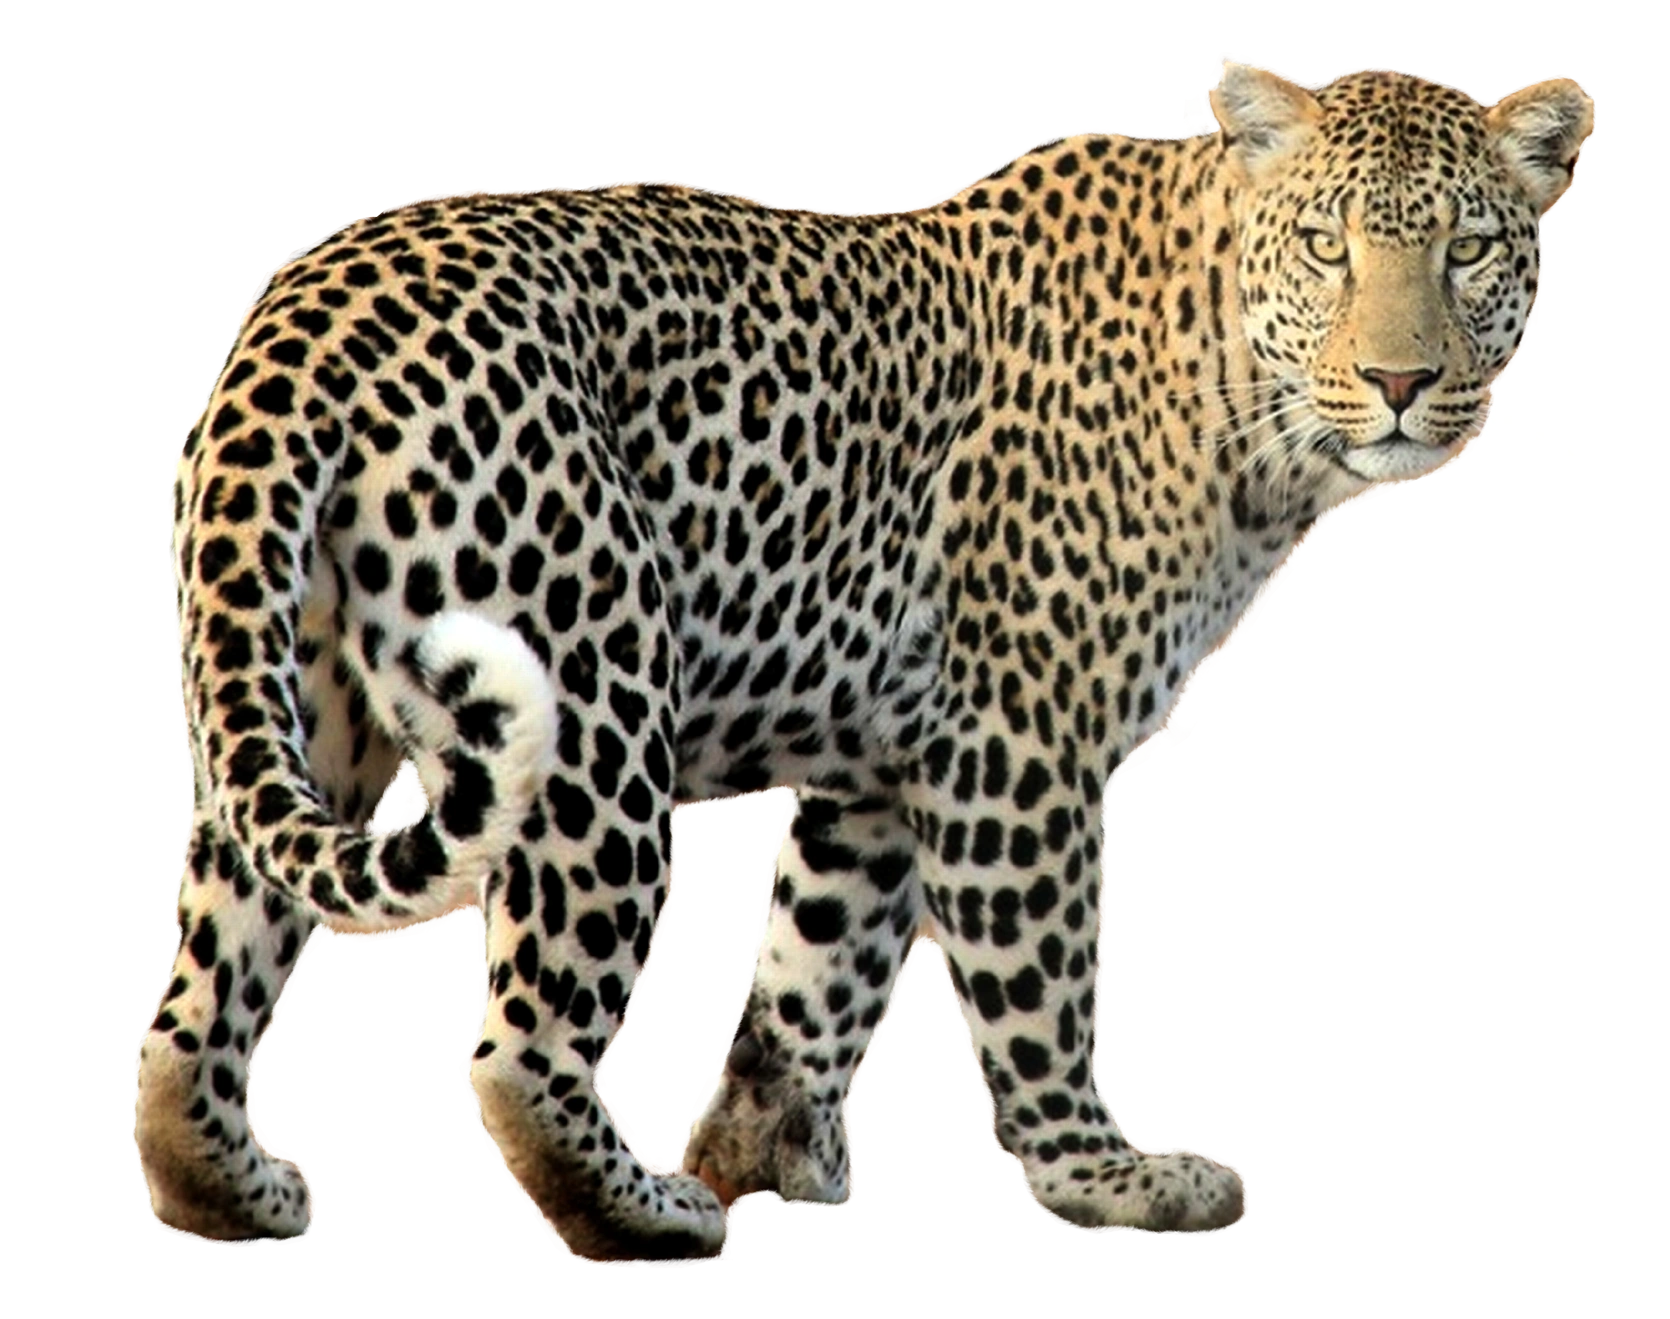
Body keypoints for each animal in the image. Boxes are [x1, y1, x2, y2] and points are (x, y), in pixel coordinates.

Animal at [142, 57, 1595, 1261]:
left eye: (1467, 250)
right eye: (1324, 246)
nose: (1400, 382)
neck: (1239, 400)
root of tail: (308, 308)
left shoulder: (886, 759)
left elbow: (814, 965)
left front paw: (767, 1157)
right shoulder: (1020, 738)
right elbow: (1040, 979)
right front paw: (1106, 1177)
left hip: (291, 696)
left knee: (197, 989)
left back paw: (231, 1188)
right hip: (589, 698)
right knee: (518, 1036)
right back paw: (644, 1211)